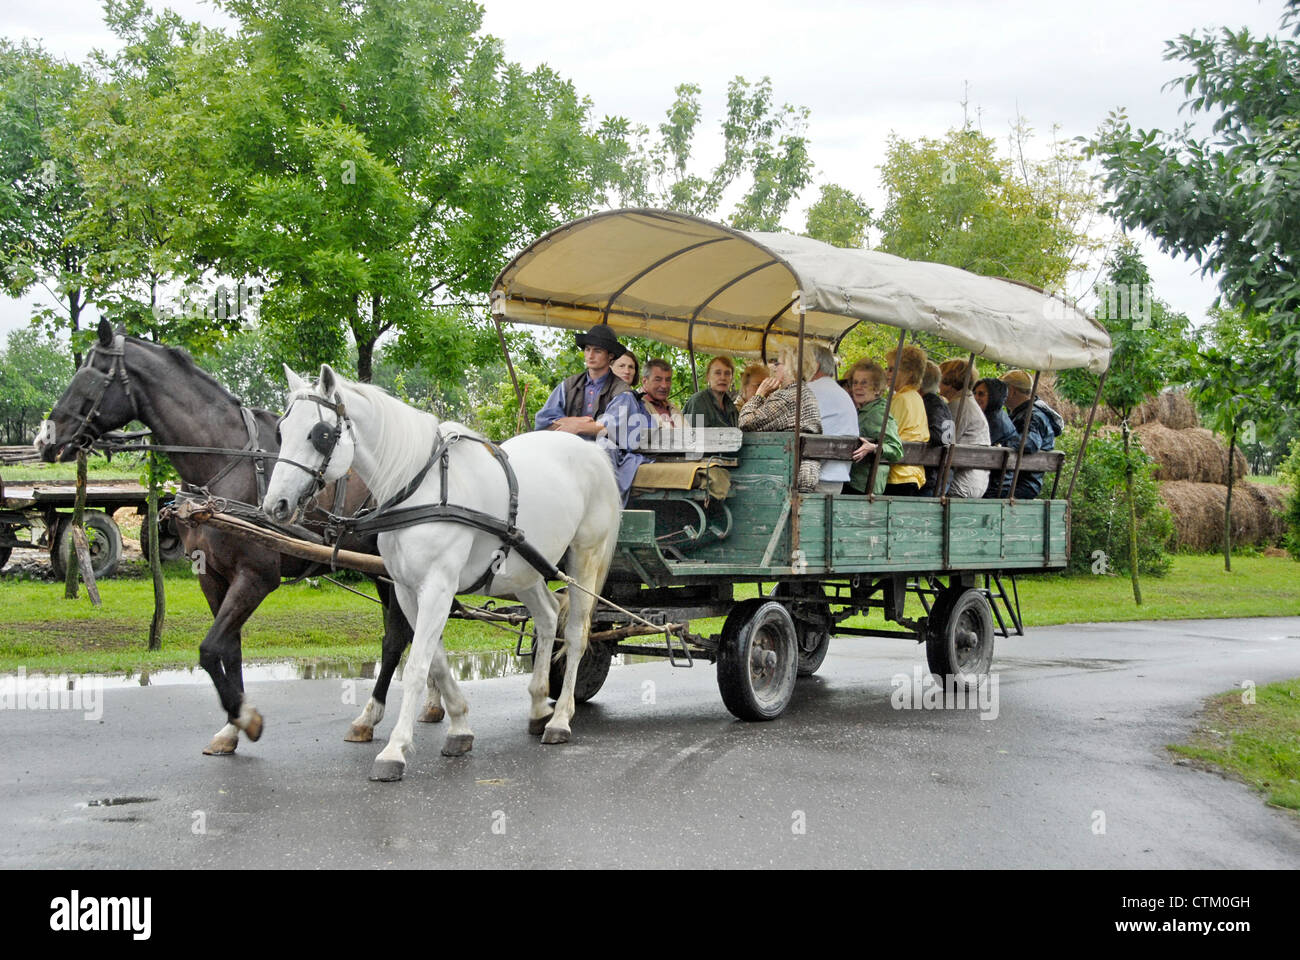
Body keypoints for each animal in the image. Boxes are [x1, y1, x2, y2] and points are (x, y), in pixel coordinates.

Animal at [35, 320, 438, 754]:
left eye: (90, 377)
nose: (45, 441)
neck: (226, 462)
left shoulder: (255, 576)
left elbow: (210, 649)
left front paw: (247, 718)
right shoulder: (212, 575)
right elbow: (229, 648)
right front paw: (232, 726)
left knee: (397, 636)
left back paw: (372, 715)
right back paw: (431, 703)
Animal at [262, 363, 622, 782]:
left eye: (320, 434)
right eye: (281, 432)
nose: (275, 505)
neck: (421, 487)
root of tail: (590, 450)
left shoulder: (437, 586)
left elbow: (417, 664)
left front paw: (395, 749)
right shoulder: (406, 589)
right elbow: (433, 657)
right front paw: (460, 726)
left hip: (585, 558)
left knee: (577, 634)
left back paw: (560, 718)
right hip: (525, 566)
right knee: (549, 617)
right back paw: (537, 707)